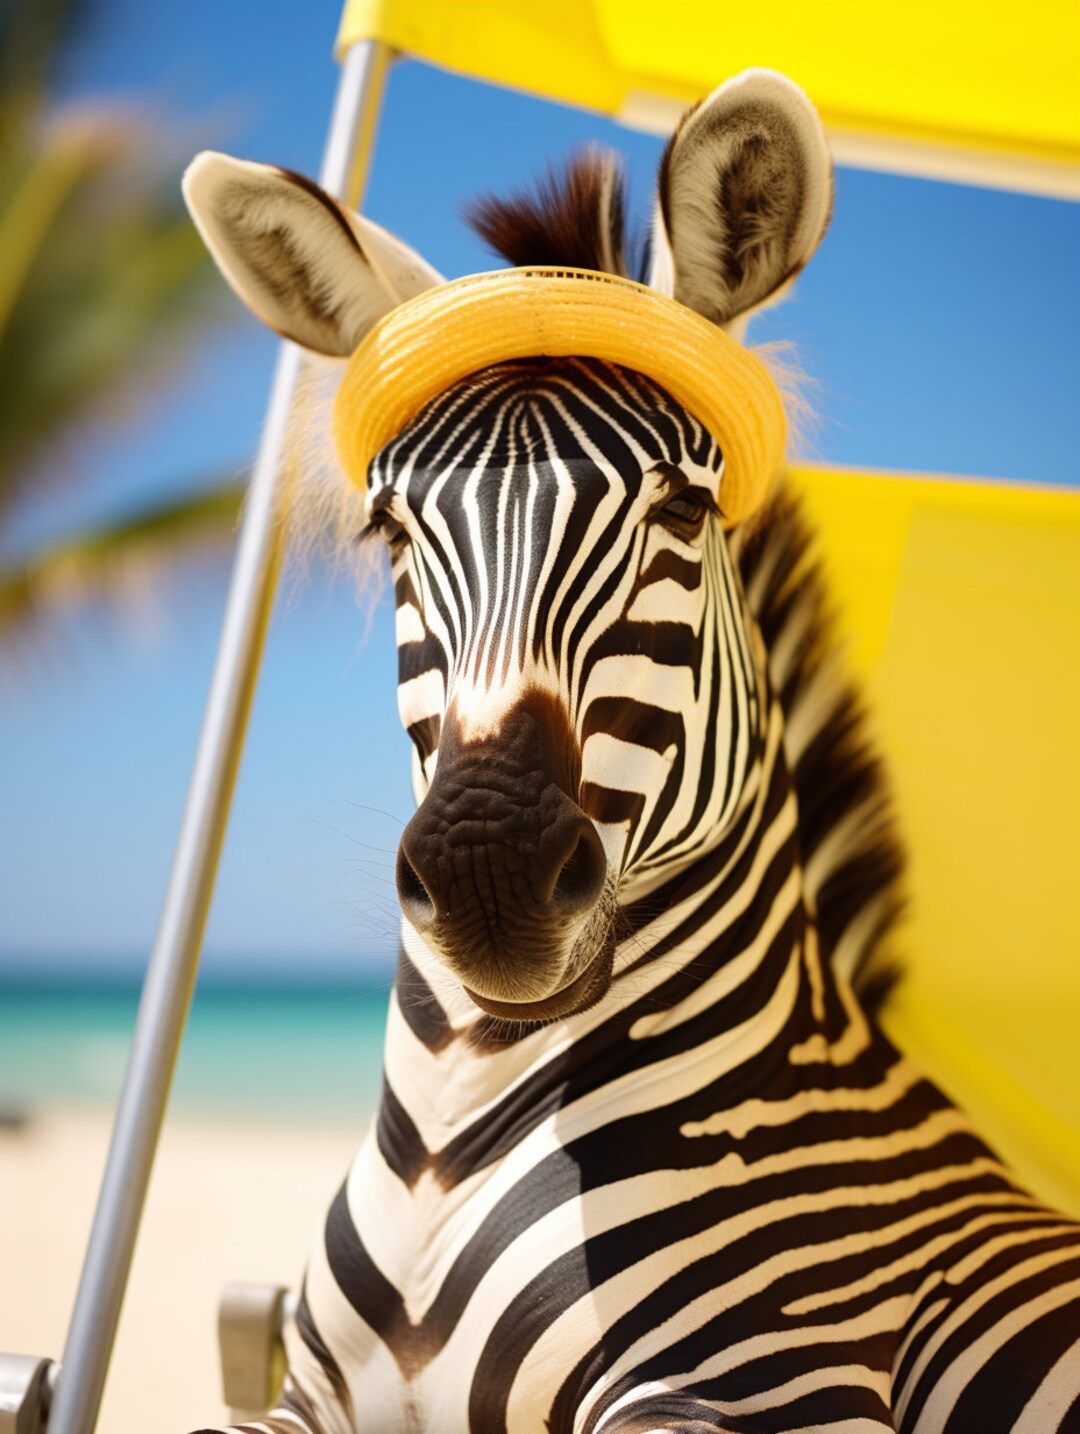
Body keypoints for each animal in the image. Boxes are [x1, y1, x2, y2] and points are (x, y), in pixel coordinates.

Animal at [182, 70, 1080, 1434]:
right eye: (391, 531)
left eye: (683, 507)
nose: (489, 874)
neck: (447, 1153)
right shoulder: (303, 1398)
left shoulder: (776, 1385)